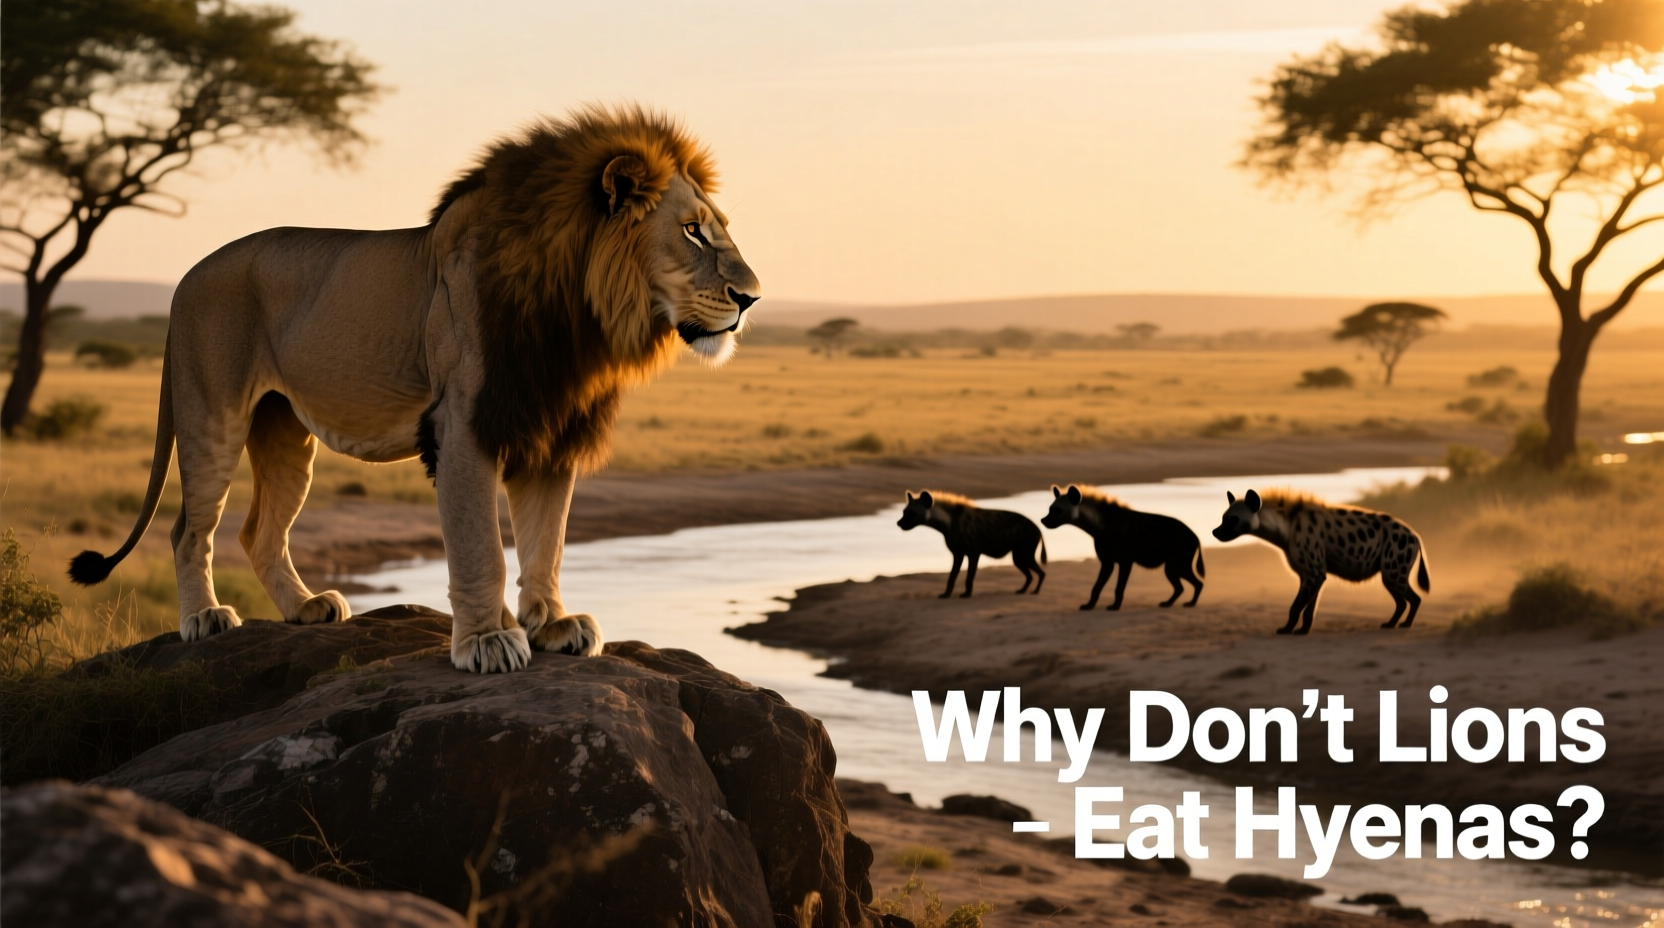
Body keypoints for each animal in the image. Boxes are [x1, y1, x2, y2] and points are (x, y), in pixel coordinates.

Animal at [68, 105, 761, 673]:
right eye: (693, 231)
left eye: (720, 226)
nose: (751, 297)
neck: (577, 318)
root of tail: (185, 278)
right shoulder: (464, 425)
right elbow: (483, 546)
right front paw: (487, 641)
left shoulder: (547, 426)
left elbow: (547, 540)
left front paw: (552, 624)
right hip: (212, 415)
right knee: (190, 528)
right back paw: (202, 619)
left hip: (284, 432)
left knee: (258, 532)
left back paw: (306, 608)